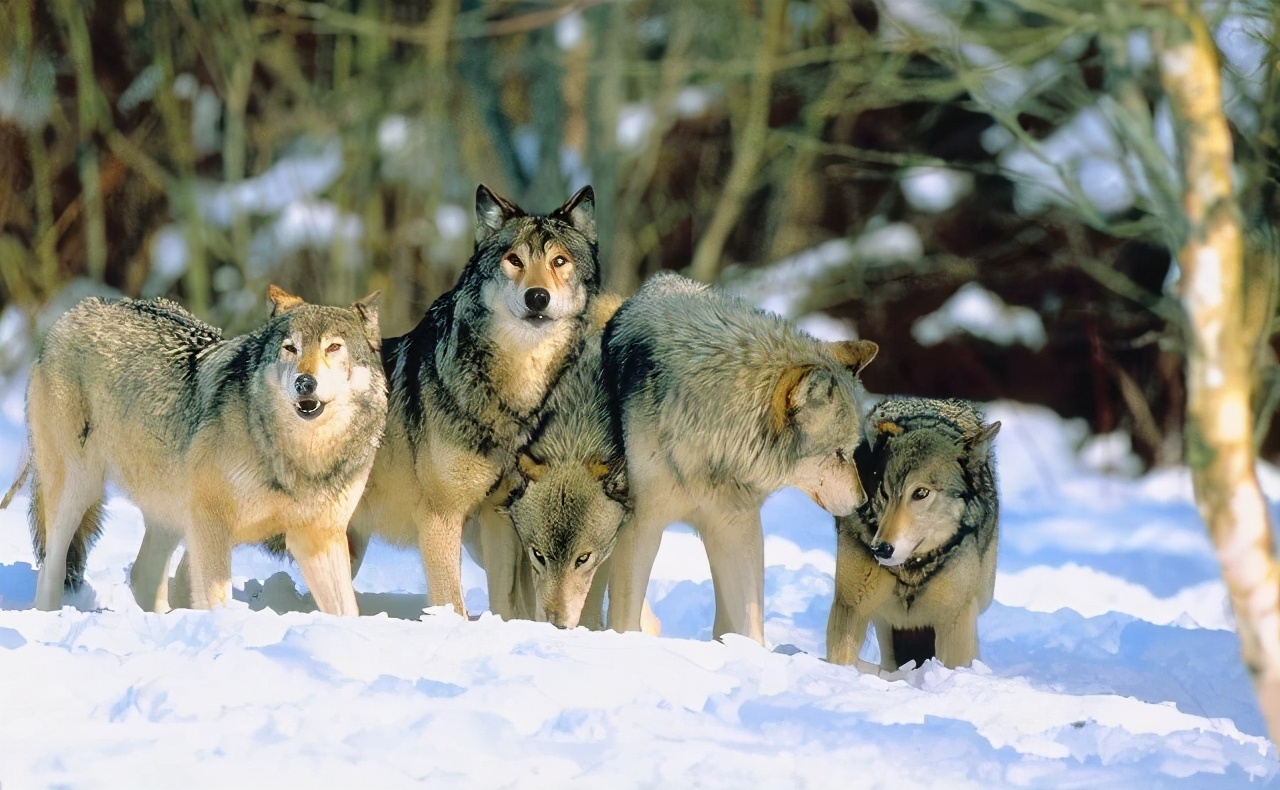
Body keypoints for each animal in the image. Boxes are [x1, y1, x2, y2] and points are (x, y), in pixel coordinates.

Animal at [8, 286, 386, 615]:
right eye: (290, 348)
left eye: (334, 347)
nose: (304, 383)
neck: (301, 457)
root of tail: (73, 311)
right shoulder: (211, 527)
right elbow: (216, 601)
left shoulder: (319, 539)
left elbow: (347, 612)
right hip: (79, 489)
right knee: (52, 568)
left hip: (169, 510)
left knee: (143, 577)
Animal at [347, 184, 603, 617]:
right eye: (514, 260)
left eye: (559, 261)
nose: (537, 297)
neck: (513, 397)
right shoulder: (439, 517)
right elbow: (452, 602)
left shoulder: (499, 517)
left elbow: (507, 603)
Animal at [601, 272, 878, 644]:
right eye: (837, 453)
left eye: (852, 451)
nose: (863, 503)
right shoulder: (641, 525)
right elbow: (624, 615)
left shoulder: (737, 527)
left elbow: (751, 624)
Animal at [826, 397, 1000, 670]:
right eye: (884, 493)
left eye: (920, 493)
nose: (881, 549)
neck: (910, 571)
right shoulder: (850, 606)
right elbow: (840, 659)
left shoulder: (954, 620)